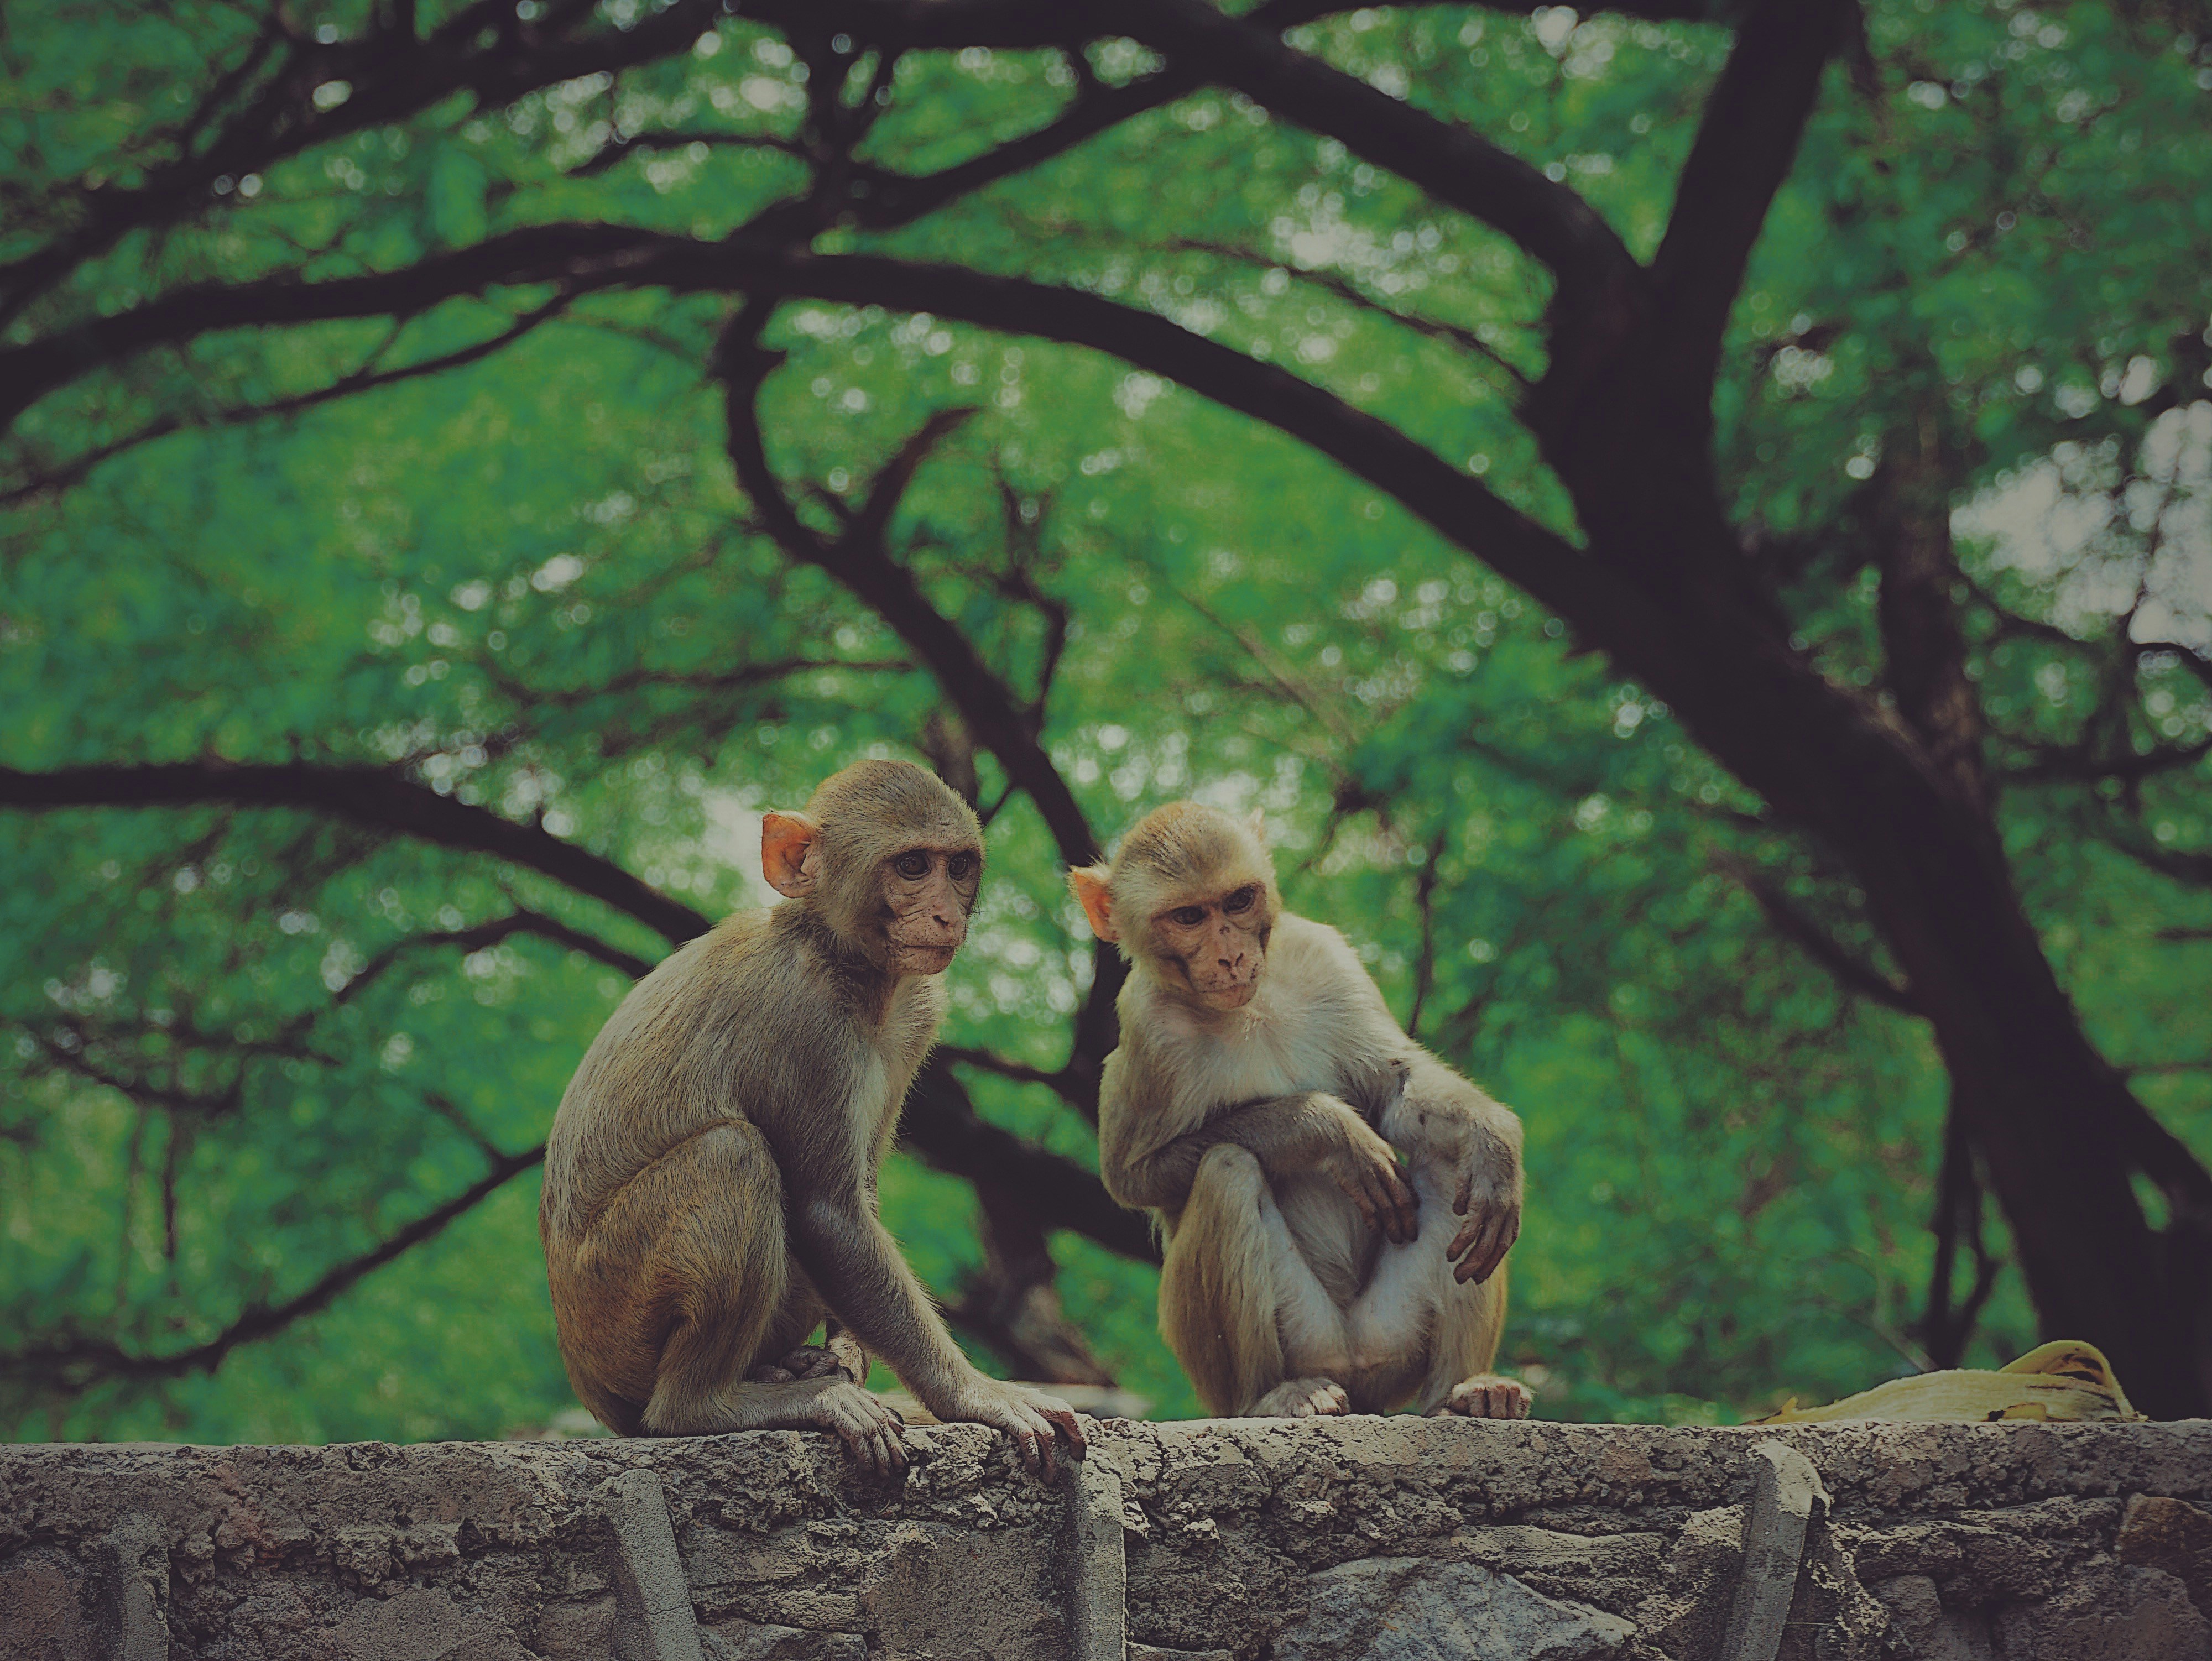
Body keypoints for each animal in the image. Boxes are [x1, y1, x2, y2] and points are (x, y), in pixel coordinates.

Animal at [540, 758, 1086, 1477]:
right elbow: (831, 1214)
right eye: (913, 865)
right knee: (734, 1154)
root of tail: (587, 1385)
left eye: (959, 866)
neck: (840, 957)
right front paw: (977, 1394)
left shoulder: (919, 1012)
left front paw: (848, 1357)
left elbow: (860, 1199)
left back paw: (783, 1368)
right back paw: (710, 1404)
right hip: (616, 1323)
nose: (944, 913)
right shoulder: (801, 1019)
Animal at [1069, 801, 1530, 1422]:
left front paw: (1492, 1135)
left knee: (1454, 1166)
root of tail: (1354, 1369)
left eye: (1239, 900)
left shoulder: (1323, 954)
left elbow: (1395, 1085)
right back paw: (1273, 1395)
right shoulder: (1146, 1028)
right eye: (1188, 916)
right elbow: (1135, 1178)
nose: (1231, 955)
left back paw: (1464, 1392)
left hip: (1391, 1341)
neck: (1248, 1007)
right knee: (1226, 1169)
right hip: (1290, 1345)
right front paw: (1322, 1130)